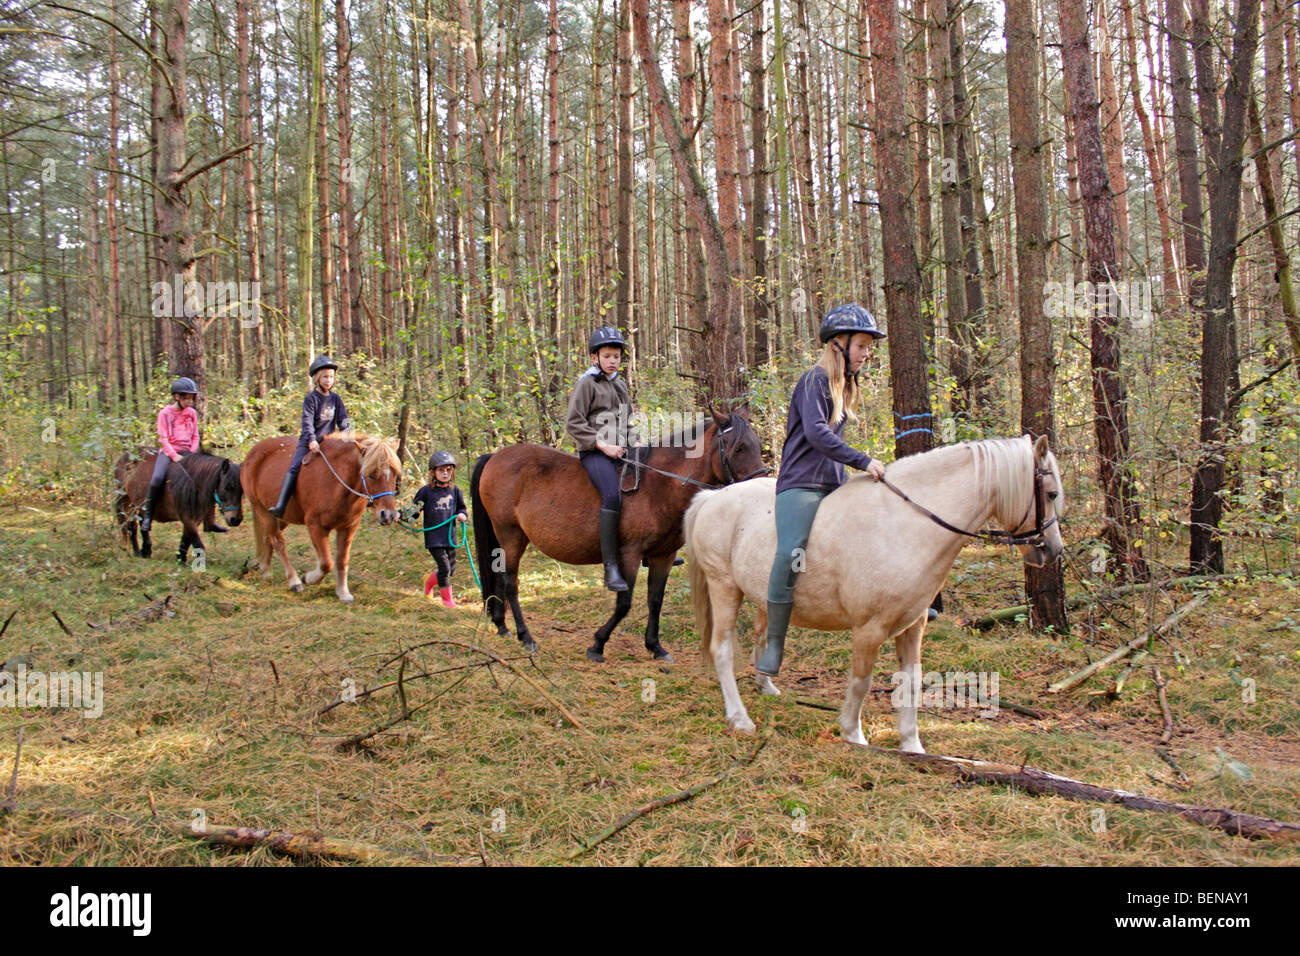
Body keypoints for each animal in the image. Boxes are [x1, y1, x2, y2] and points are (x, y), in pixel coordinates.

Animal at [113, 450, 244, 562]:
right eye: (228, 486)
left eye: (242, 490)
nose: (235, 519)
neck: (193, 482)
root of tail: (125, 456)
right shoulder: (186, 517)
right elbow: (198, 545)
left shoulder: (195, 519)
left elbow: (185, 541)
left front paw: (180, 560)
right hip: (125, 502)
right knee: (131, 527)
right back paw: (137, 552)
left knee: (140, 523)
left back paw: (145, 550)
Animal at [240, 432, 401, 603]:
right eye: (370, 475)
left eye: (395, 474)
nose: (388, 515)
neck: (337, 482)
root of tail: (252, 453)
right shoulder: (316, 527)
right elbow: (326, 563)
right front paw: (309, 578)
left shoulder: (348, 527)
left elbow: (342, 560)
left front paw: (343, 592)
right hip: (263, 511)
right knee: (278, 542)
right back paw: (293, 580)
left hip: (281, 518)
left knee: (269, 538)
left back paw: (264, 570)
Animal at [470, 407, 767, 661]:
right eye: (739, 447)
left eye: (756, 443)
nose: (759, 489)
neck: (659, 486)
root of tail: (495, 457)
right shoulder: (629, 554)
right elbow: (624, 603)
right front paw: (598, 644)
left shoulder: (663, 556)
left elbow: (655, 601)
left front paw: (655, 647)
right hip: (511, 534)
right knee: (510, 583)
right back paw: (526, 637)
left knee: (499, 577)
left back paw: (501, 625)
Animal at [684, 435, 1066, 752]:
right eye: (1051, 494)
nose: (1053, 551)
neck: (906, 523)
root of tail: (713, 497)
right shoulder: (869, 629)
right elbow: (861, 682)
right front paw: (853, 734)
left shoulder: (912, 627)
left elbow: (911, 682)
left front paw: (911, 745)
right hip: (724, 587)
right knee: (722, 650)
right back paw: (739, 718)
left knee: (762, 636)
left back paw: (766, 686)